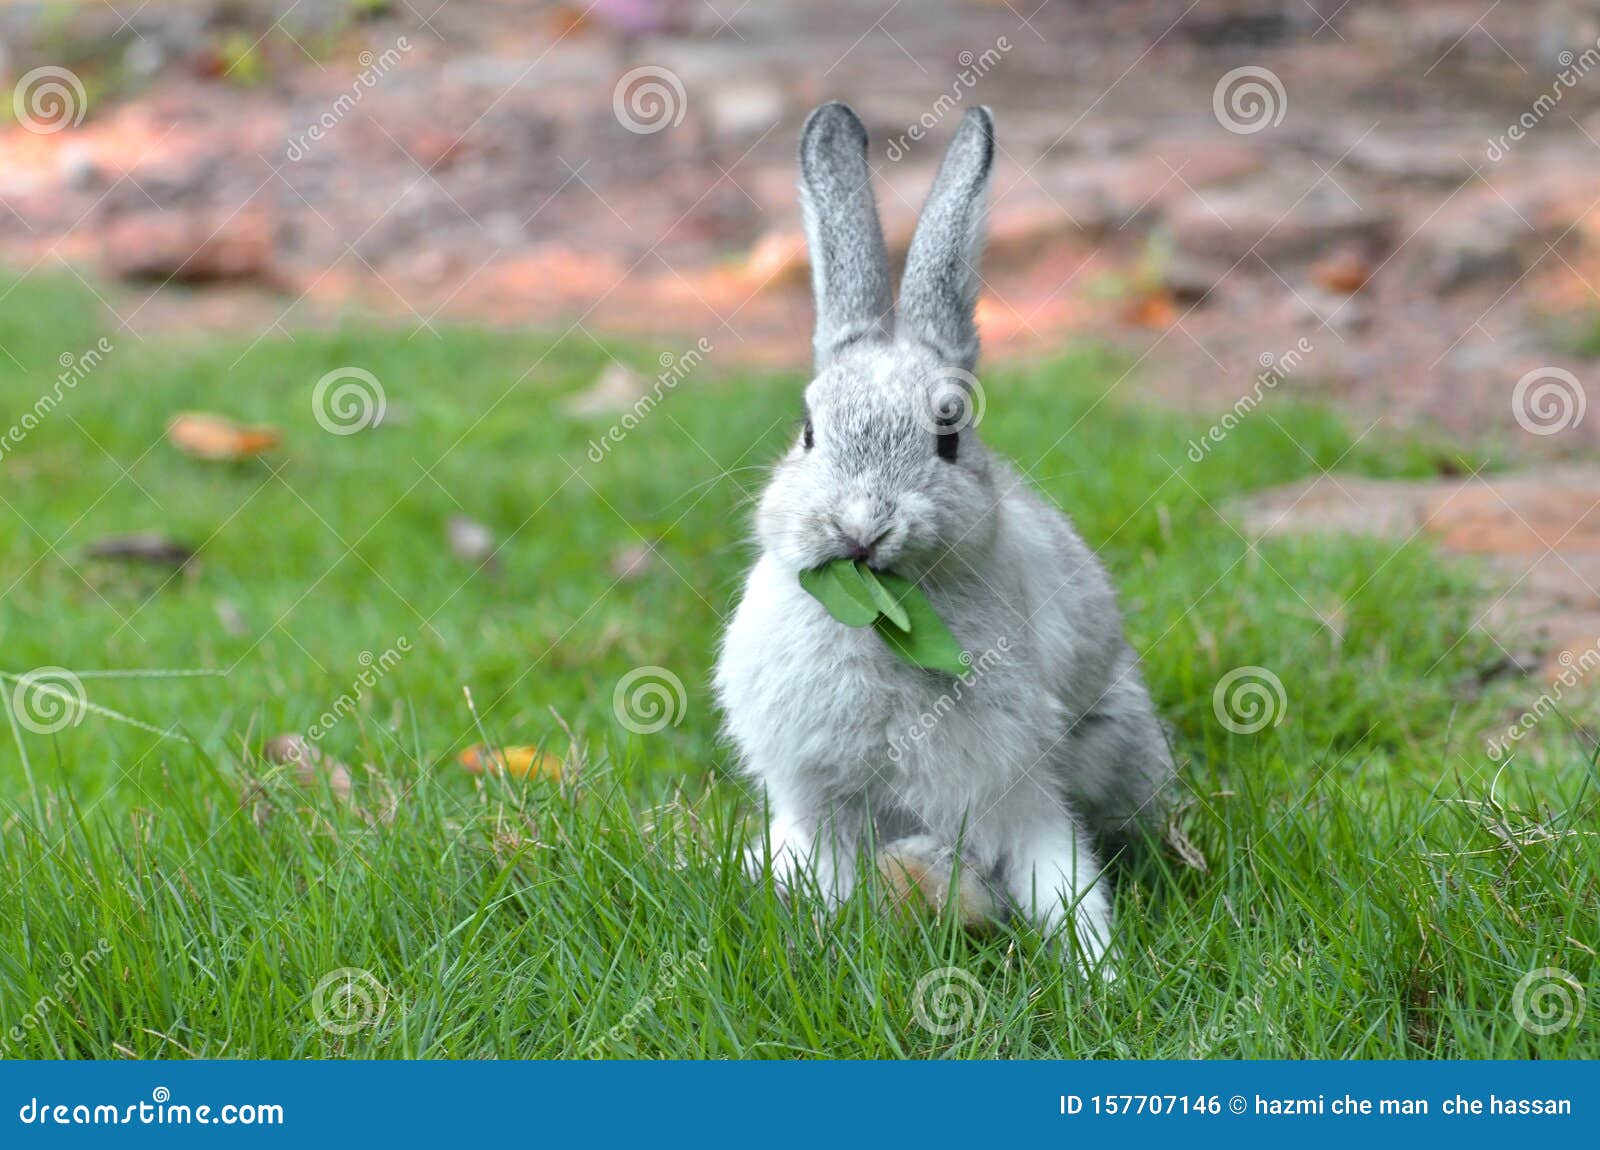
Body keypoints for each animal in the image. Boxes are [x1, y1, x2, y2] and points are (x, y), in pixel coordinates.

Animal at [713, 101, 1175, 972]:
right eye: (808, 433)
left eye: (950, 436)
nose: (862, 525)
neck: (885, 617)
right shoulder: (817, 798)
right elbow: (833, 880)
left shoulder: (1013, 786)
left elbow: (1058, 873)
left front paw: (1100, 973)